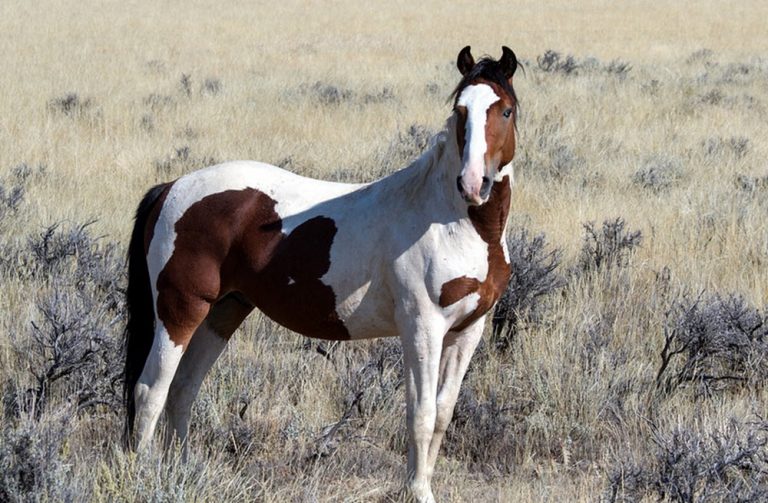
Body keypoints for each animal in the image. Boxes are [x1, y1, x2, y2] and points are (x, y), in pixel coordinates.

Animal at [124, 45, 519, 503]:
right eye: (460, 111)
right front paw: (418, 491)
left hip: (222, 313)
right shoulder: (422, 327)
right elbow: (419, 414)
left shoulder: (467, 330)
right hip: (179, 312)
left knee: (183, 390)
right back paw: (145, 477)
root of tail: (171, 188)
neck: (449, 219)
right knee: (151, 391)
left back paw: (183, 473)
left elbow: (441, 413)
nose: (474, 184)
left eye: (505, 110)